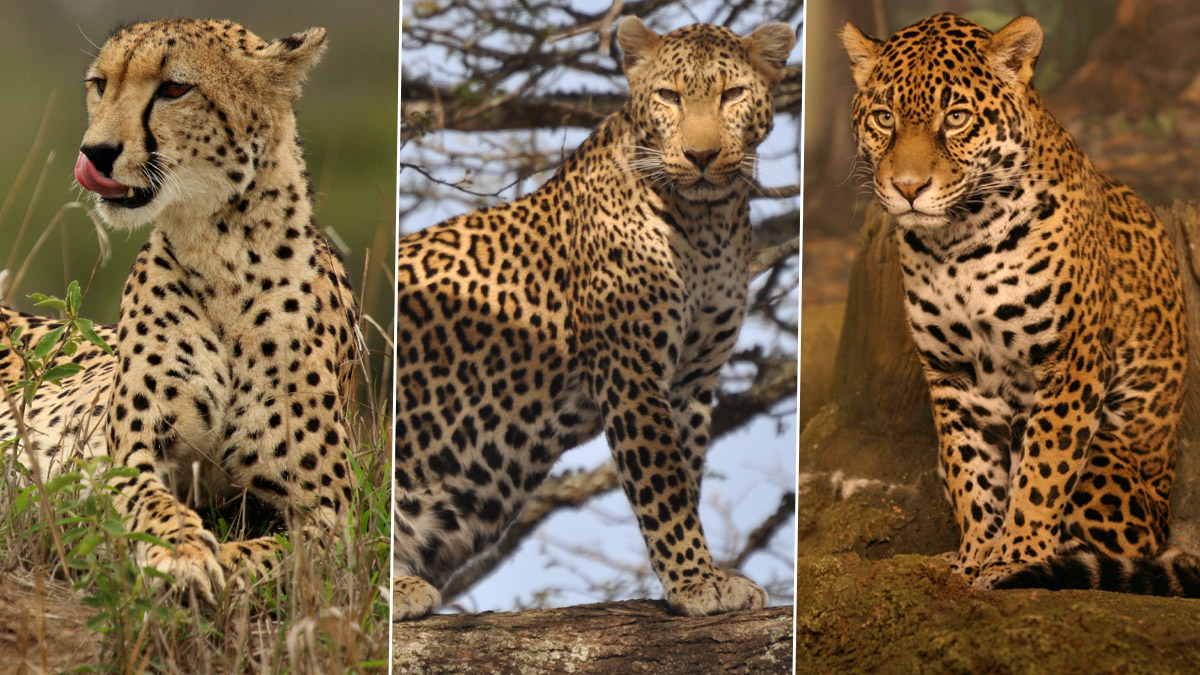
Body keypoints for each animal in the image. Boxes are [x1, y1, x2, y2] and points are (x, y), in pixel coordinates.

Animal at [0, 18, 360, 603]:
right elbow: (154, 507)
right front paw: (183, 554)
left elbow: (282, 556)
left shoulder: (331, 514)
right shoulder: (129, 456)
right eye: (100, 85)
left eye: (173, 89)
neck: (227, 252)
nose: (95, 152)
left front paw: (223, 562)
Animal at [391, 16, 796, 619]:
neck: (708, 224)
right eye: (669, 96)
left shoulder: (691, 381)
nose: (700, 155)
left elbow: (686, 478)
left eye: (733, 95)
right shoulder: (631, 372)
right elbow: (663, 486)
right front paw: (697, 583)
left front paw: (695, 577)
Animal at [842, 11, 1200, 595]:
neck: (959, 243)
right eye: (883, 118)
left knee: (1123, 545)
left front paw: (1017, 558)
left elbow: (1042, 474)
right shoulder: (952, 375)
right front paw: (974, 557)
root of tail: (1165, 514)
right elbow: (970, 474)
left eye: (956, 118)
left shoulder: (1071, 364)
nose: (908, 188)